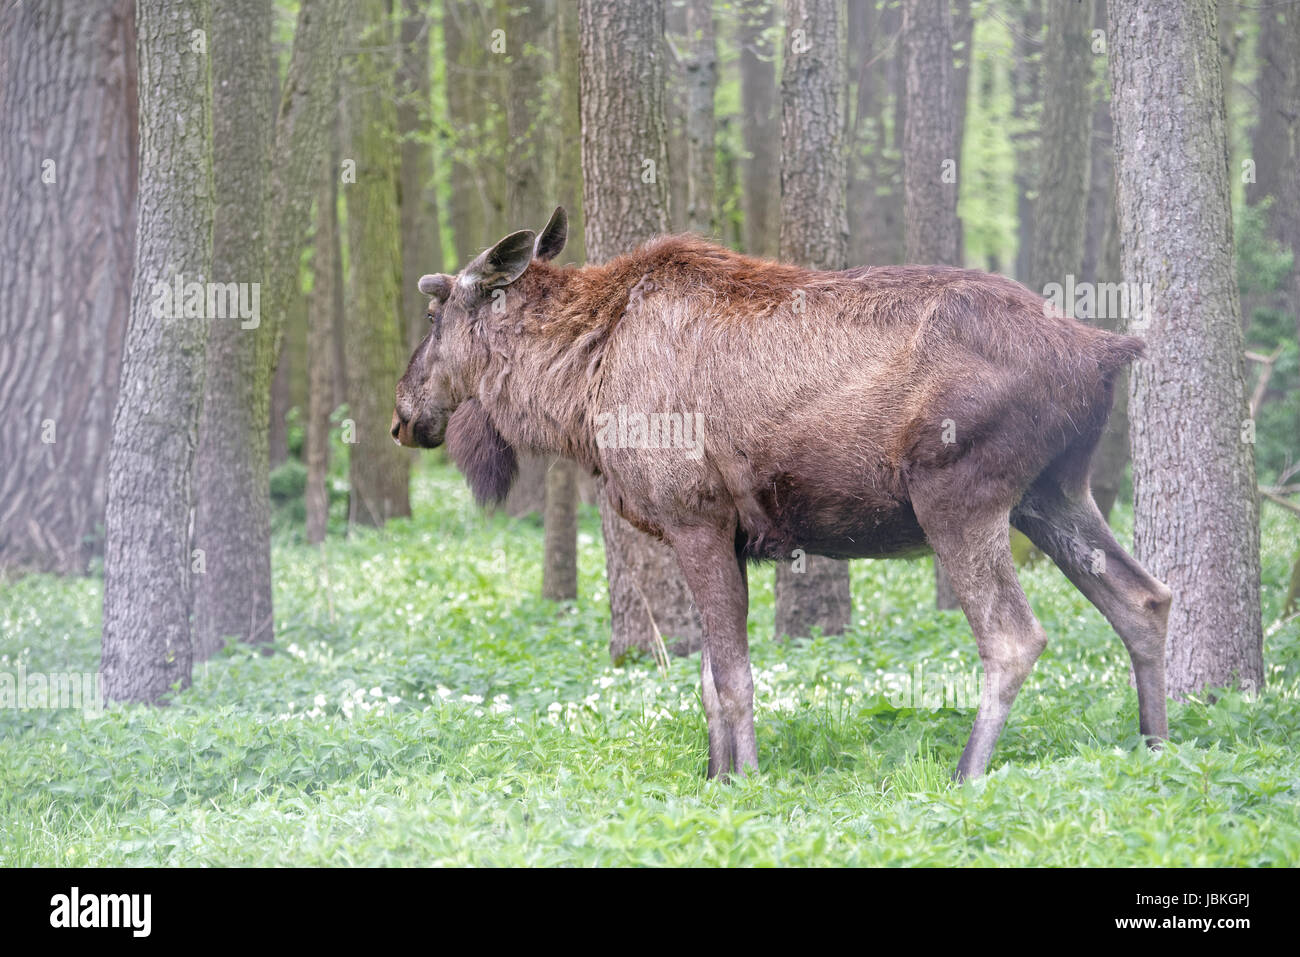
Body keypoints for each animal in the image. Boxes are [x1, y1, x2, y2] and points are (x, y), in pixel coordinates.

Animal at [391, 206, 1172, 782]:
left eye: (432, 315)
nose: (402, 413)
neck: (580, 388)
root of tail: (1107, 351)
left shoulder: (695, 517)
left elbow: (734, 678)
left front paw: (751, 779)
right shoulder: (730, 536)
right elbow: (711, 680)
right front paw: (716, 776)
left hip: (959, 493)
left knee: (1014, 637)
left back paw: (966, 773)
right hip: (1052, 494)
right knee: (1145, 600)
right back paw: (1157, 747)